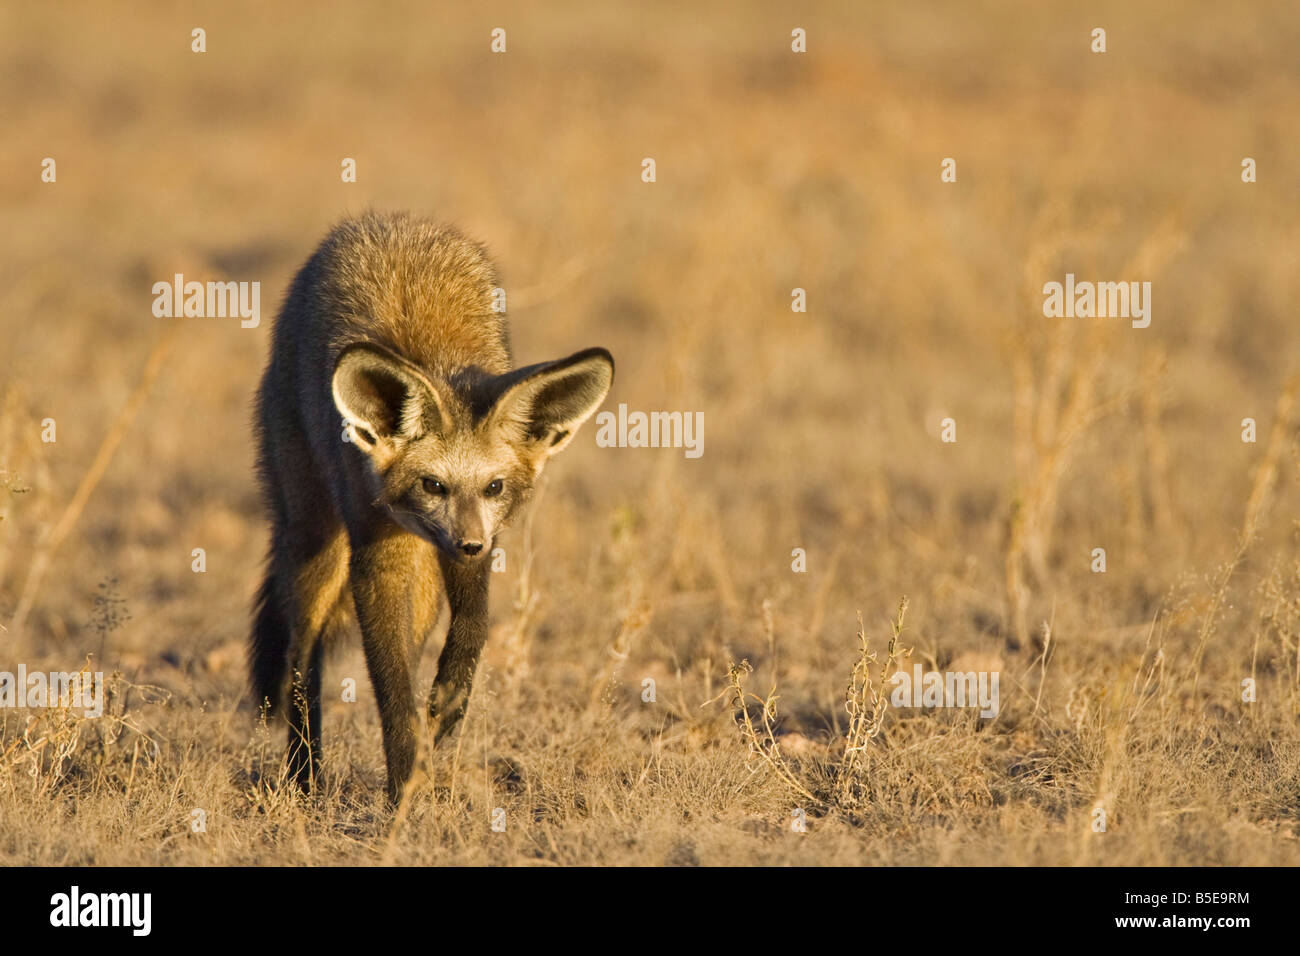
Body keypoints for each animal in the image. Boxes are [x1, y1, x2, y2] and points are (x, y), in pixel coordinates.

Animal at [249, 211, 613, 803]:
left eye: (494, 487)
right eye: (432, 485)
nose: (469, 545)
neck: (435, 357)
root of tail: (380, 220)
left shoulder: (472, 542)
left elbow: (473, 628)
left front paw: (446, 704)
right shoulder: (376, 555)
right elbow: (392, 688)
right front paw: (403, 787)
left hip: (419, 583)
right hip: (314, 542)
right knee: (302, 658)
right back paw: (304, 776)